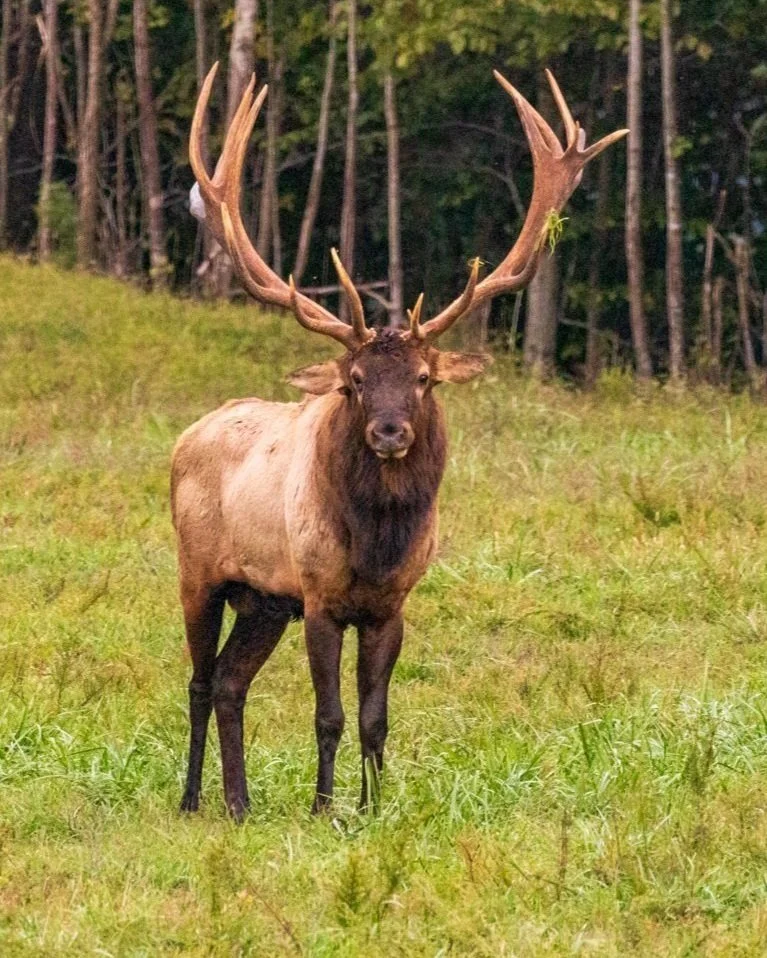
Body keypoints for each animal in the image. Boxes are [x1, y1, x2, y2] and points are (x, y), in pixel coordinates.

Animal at [172, 62, 627, 820]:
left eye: (423, 378)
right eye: (353, 381)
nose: (391, 431)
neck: (376, 545)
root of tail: (187, 434)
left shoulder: (391, 605)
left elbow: (374, 716)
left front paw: (374, 806)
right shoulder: (320, 594)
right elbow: (327, 714)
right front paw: (324, 808)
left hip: (263, 600)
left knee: (233, 682)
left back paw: (239, 803)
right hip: (200, 572)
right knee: (202, 683)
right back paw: (191, 800)